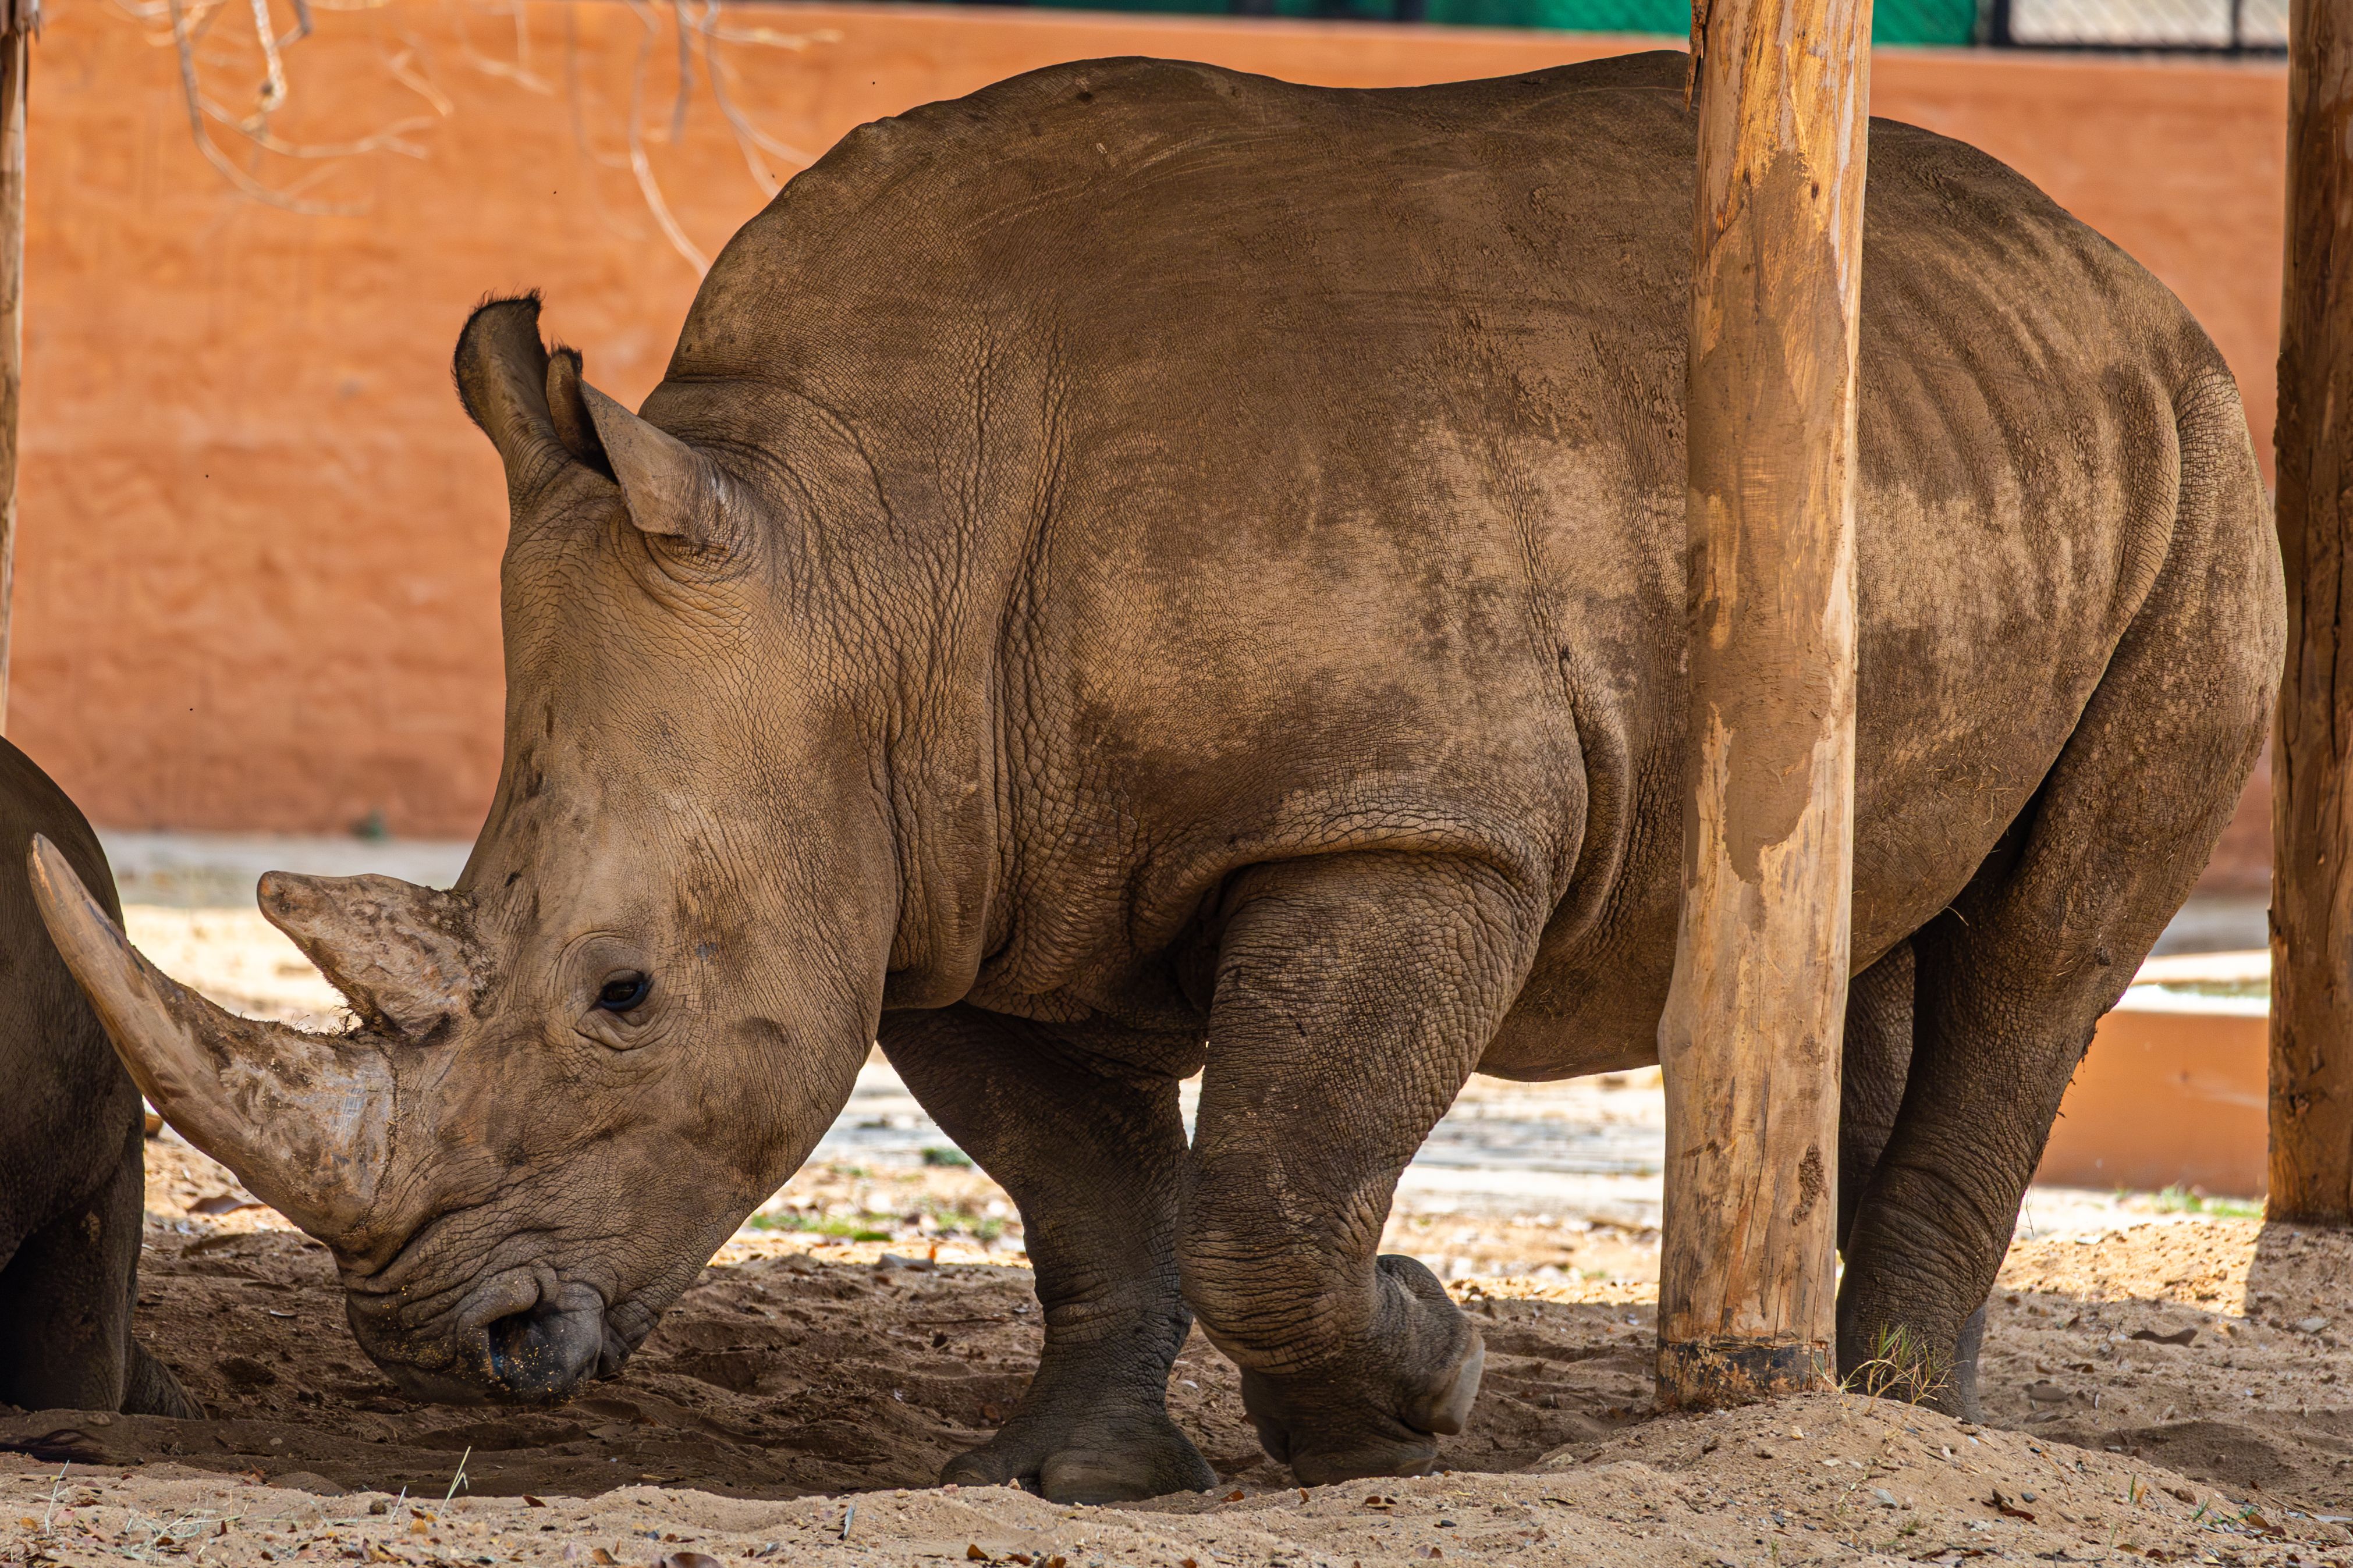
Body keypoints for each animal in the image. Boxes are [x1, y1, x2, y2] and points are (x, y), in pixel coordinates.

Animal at [32, 49, 2277, 1499]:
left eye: (622, 994)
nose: (442, 1345)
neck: (858, 549)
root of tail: (2099, 260)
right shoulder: (938, 867)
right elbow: (1088, 1184)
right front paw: (1068, 1476)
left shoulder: (1407, 817)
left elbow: (1272, 1186)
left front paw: (1406, 1398)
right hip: (2001, 441)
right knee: (1887, 912)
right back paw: (1843, 1410)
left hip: (2201, 449)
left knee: (2046, 952)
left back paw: (1889, 1414)